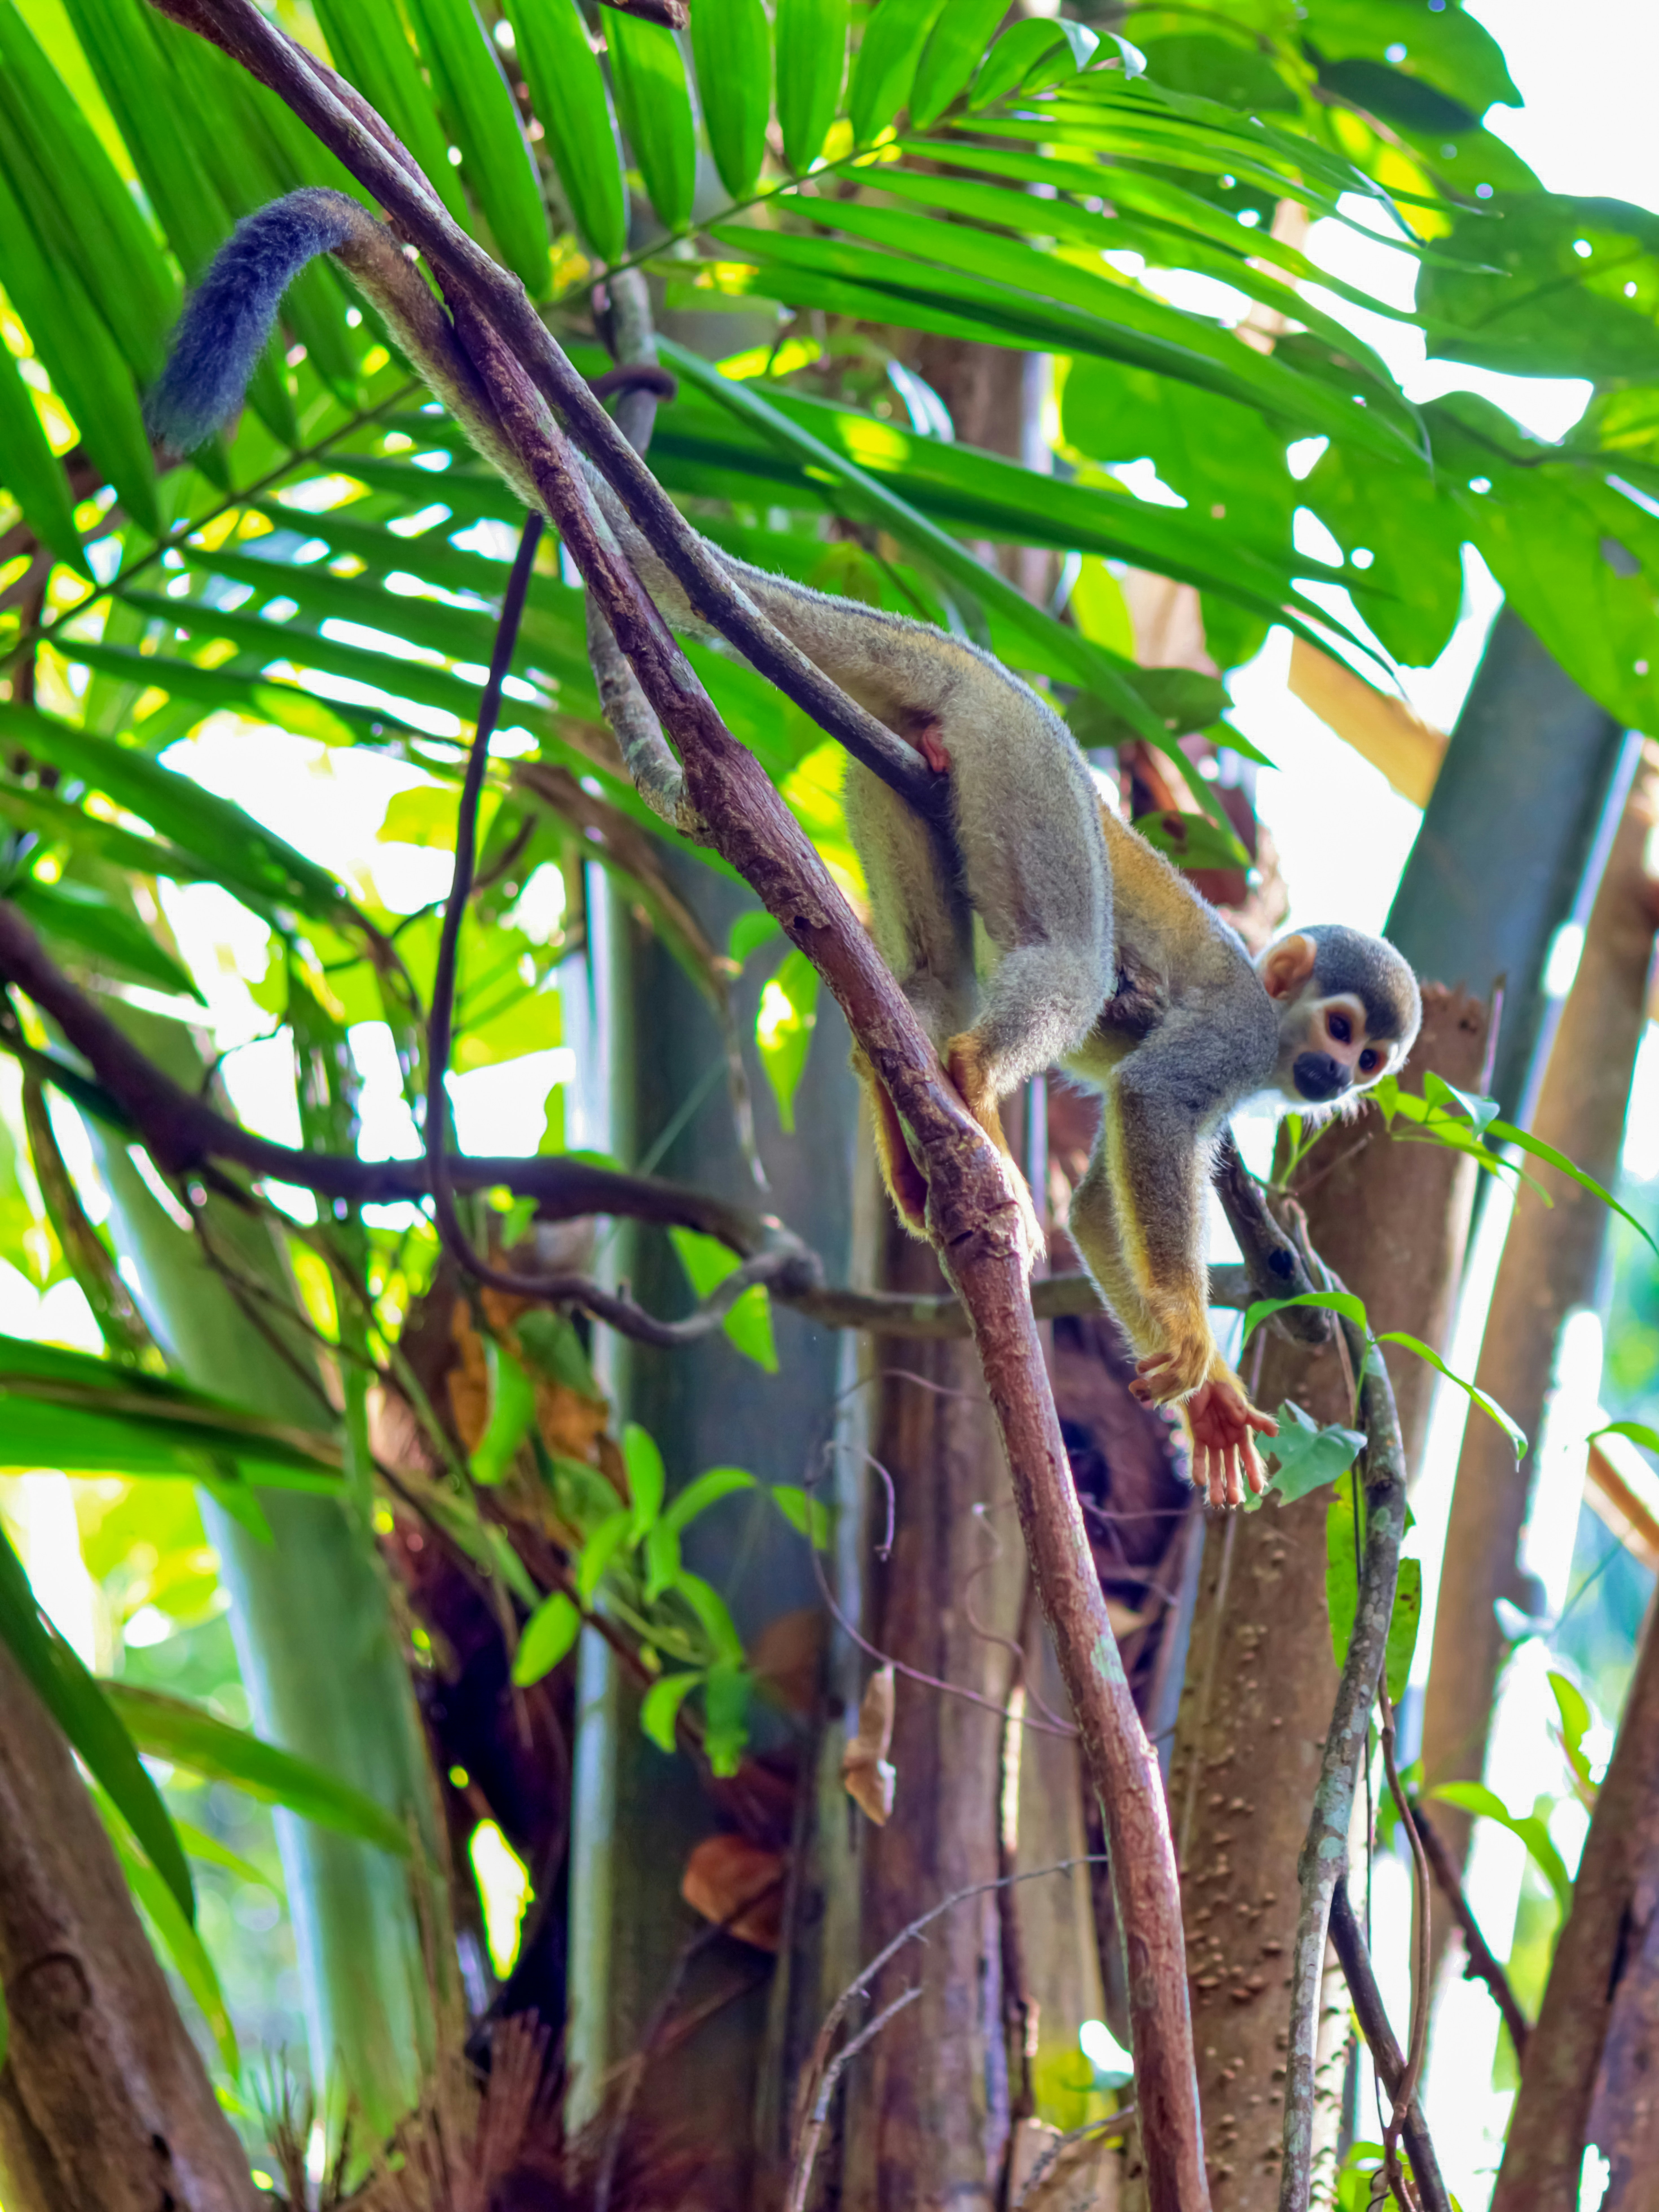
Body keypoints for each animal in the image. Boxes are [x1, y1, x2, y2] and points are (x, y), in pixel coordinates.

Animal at [145, 190, 1423, 1510]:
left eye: (1371, 1060)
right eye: (1337, 1030)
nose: (1332, 1076)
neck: (1271, 1024)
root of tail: (972, 659)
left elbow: (1098, 1197)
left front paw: (1187, 1377)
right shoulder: (1232, 1038)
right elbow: (1153, 1101)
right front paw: (1191, 1343)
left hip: (897, 780)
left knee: (928, 969)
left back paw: (916, 1113)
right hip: (1023, 762)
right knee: (1064, 953)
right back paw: (969, 1082)